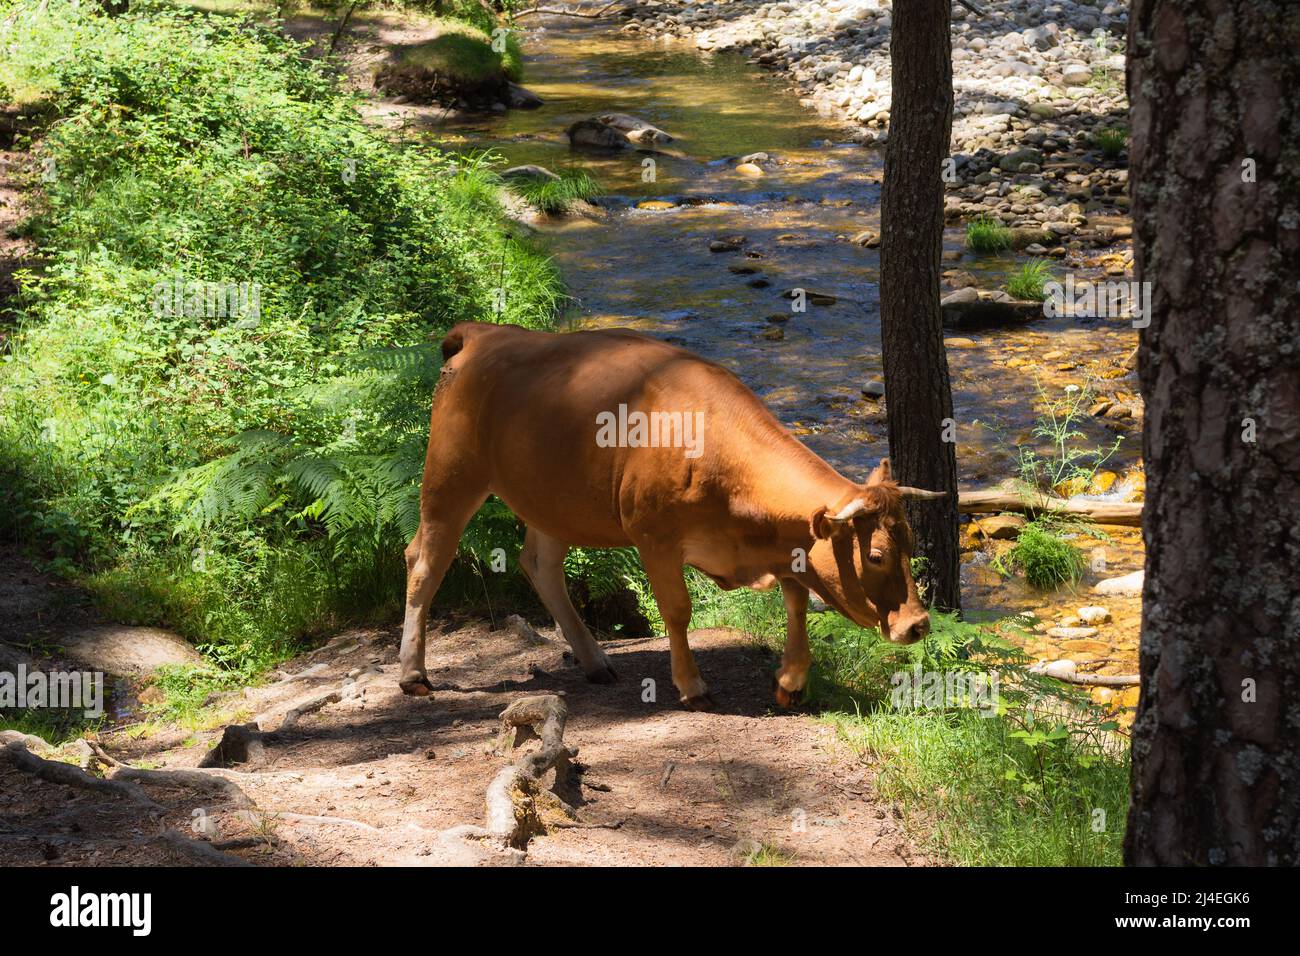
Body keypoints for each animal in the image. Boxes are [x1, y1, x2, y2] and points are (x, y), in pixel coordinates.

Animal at [399, 322, 947, 710]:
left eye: (911, 544)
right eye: (876, 555)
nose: (918, 625)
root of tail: (482, 332)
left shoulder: (781, 544)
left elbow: (795, 603)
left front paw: (791, 682)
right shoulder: (655, 538)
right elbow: (678, 610)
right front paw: (691, 685)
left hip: (550, 500)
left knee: (540, 565)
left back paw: (594, 661)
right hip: (451, 475)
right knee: (424, 561)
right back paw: (413, 674)